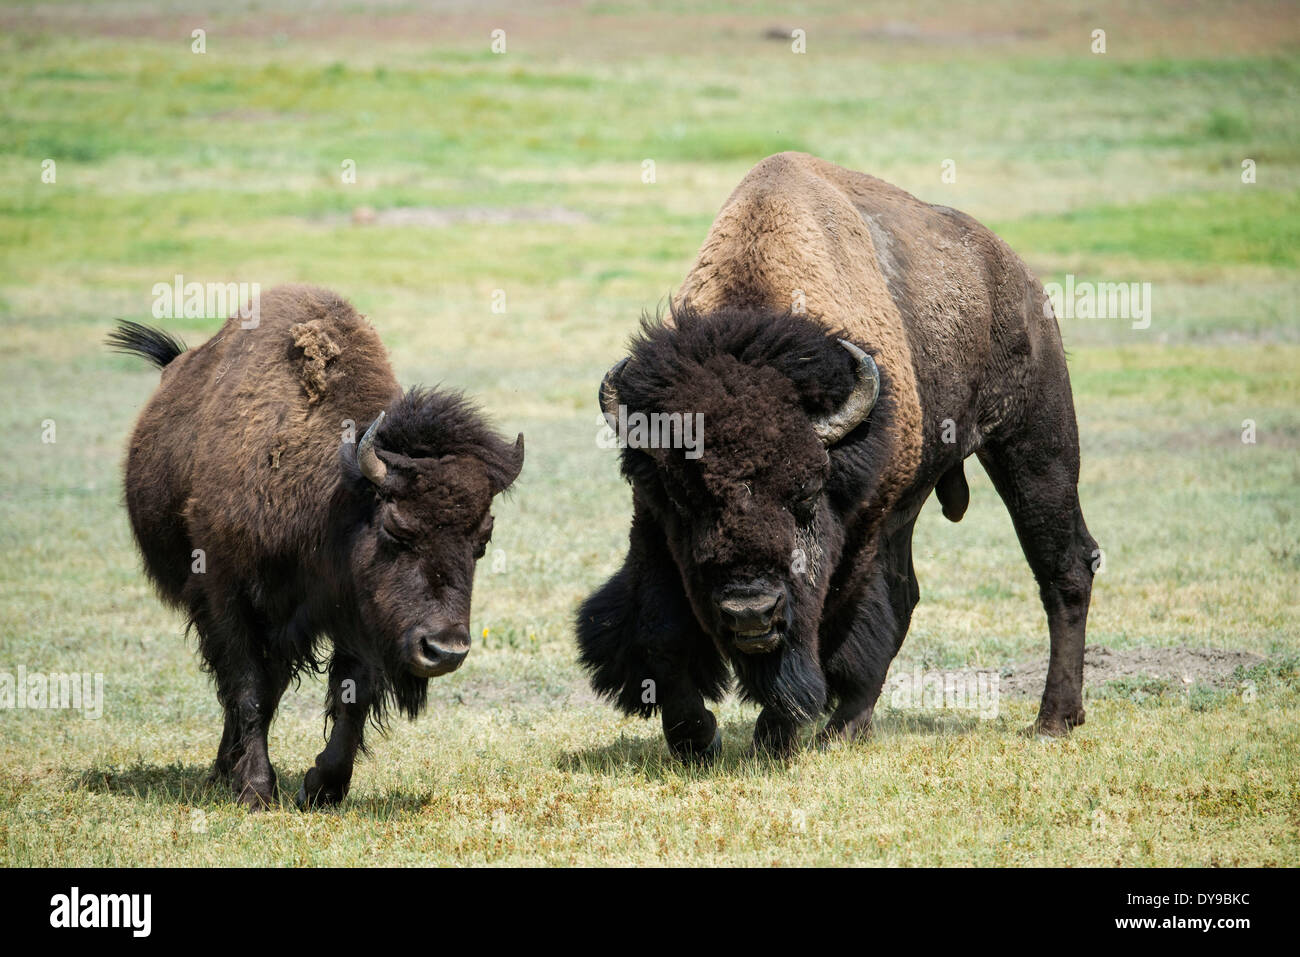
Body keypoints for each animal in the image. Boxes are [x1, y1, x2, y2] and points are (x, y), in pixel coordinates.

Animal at [110, 284, 524, 808]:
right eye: (396, 529)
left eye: (482, 539)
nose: (444, 650)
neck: (332, 500)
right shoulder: (228, 597)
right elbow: (247, 688)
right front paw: (257, 790)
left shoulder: (357, 614)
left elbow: (353, 693)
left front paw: (323, 786)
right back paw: (226, 773)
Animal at [578, 152, 1097, 759]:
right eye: (685, 498)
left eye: (804, 492)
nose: (750, 612)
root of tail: (1019, 279)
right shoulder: (653, 526)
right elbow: (659, 628)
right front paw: (696, 737)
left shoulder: (860, 530)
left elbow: (831, 628)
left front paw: (774, 734)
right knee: (909, 596)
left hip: (1033, 446)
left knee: (1064, 567)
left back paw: (1051, 719)